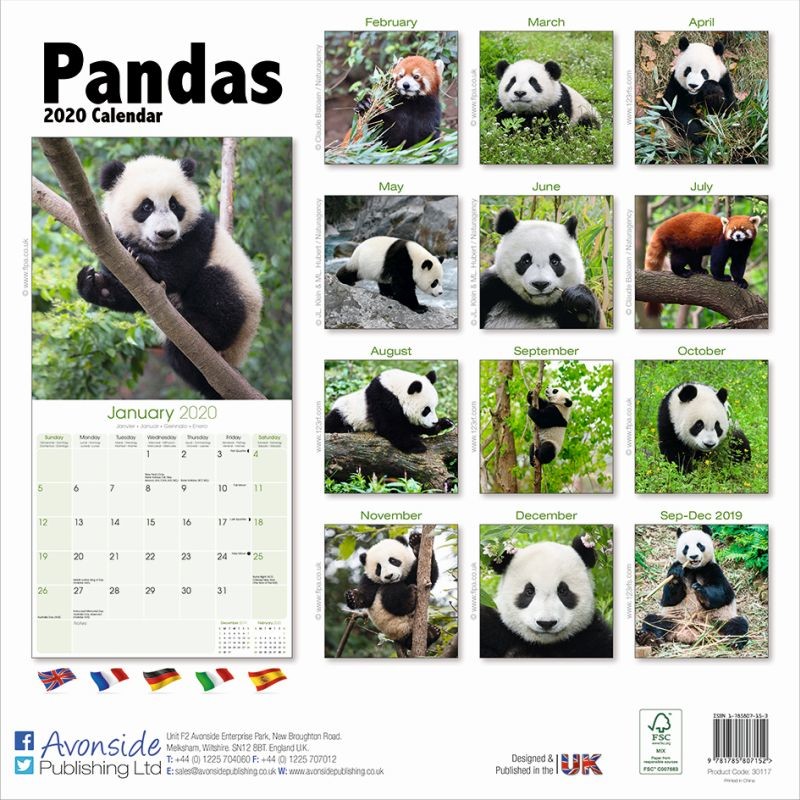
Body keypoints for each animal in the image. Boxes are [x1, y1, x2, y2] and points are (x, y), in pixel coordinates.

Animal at [76, 155, 262, 399]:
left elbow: (182, 265)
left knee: (218, 288)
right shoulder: (112, 245)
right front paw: (94, 283)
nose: (166, 233)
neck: (158, 248)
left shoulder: (199, 229)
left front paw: (146, 262)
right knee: (181, 361)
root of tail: (235, 358)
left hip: (243, 304)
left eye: (175, 205)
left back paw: (204, 327)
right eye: (146, 206)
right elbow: (133, 294)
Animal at [324, 368, 454, 454]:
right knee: (332, 422)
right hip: (344, 410)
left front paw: (444, 423)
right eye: (426, 410)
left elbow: (411, 426)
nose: (434, 422)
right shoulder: (383, 399)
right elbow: (391, 427)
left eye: (434, 407)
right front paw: (416, 446)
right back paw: (346, 429)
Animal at [480, 535, 613, 658]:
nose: (546, 623)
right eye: (529, 591)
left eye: (563, 590)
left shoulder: (591, 636)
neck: (542, 644)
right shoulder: (494, 629)